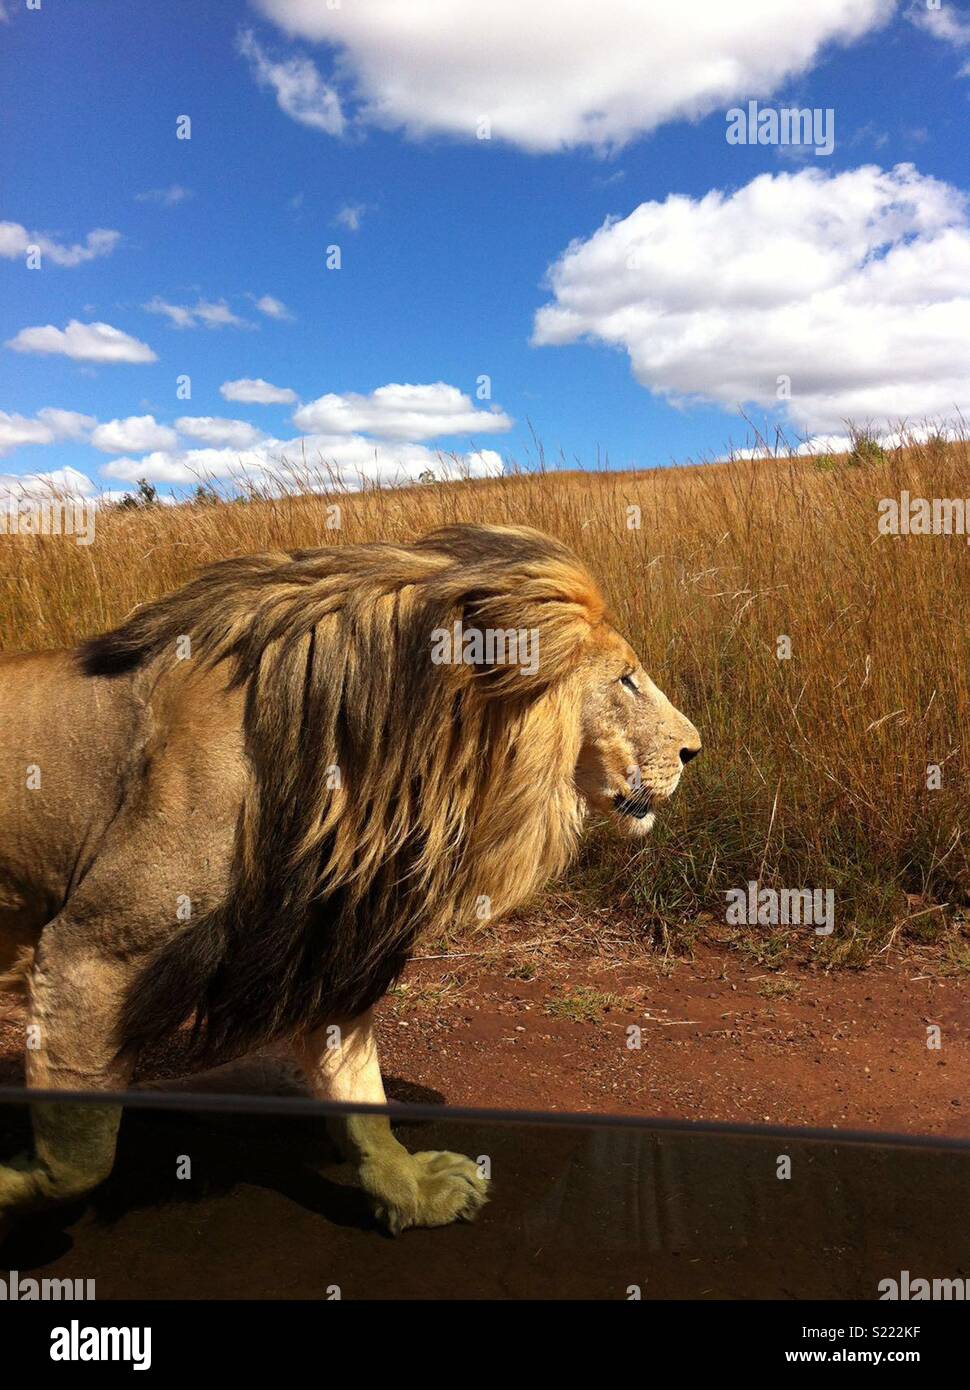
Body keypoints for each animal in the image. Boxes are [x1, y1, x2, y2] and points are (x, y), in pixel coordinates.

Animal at [0, 523, 700, 1234]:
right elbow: (79, 1156)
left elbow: (357, 1084)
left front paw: (411, 1190)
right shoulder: (93, 952)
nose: (693, 750)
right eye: (626, 680)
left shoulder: (325, 935)